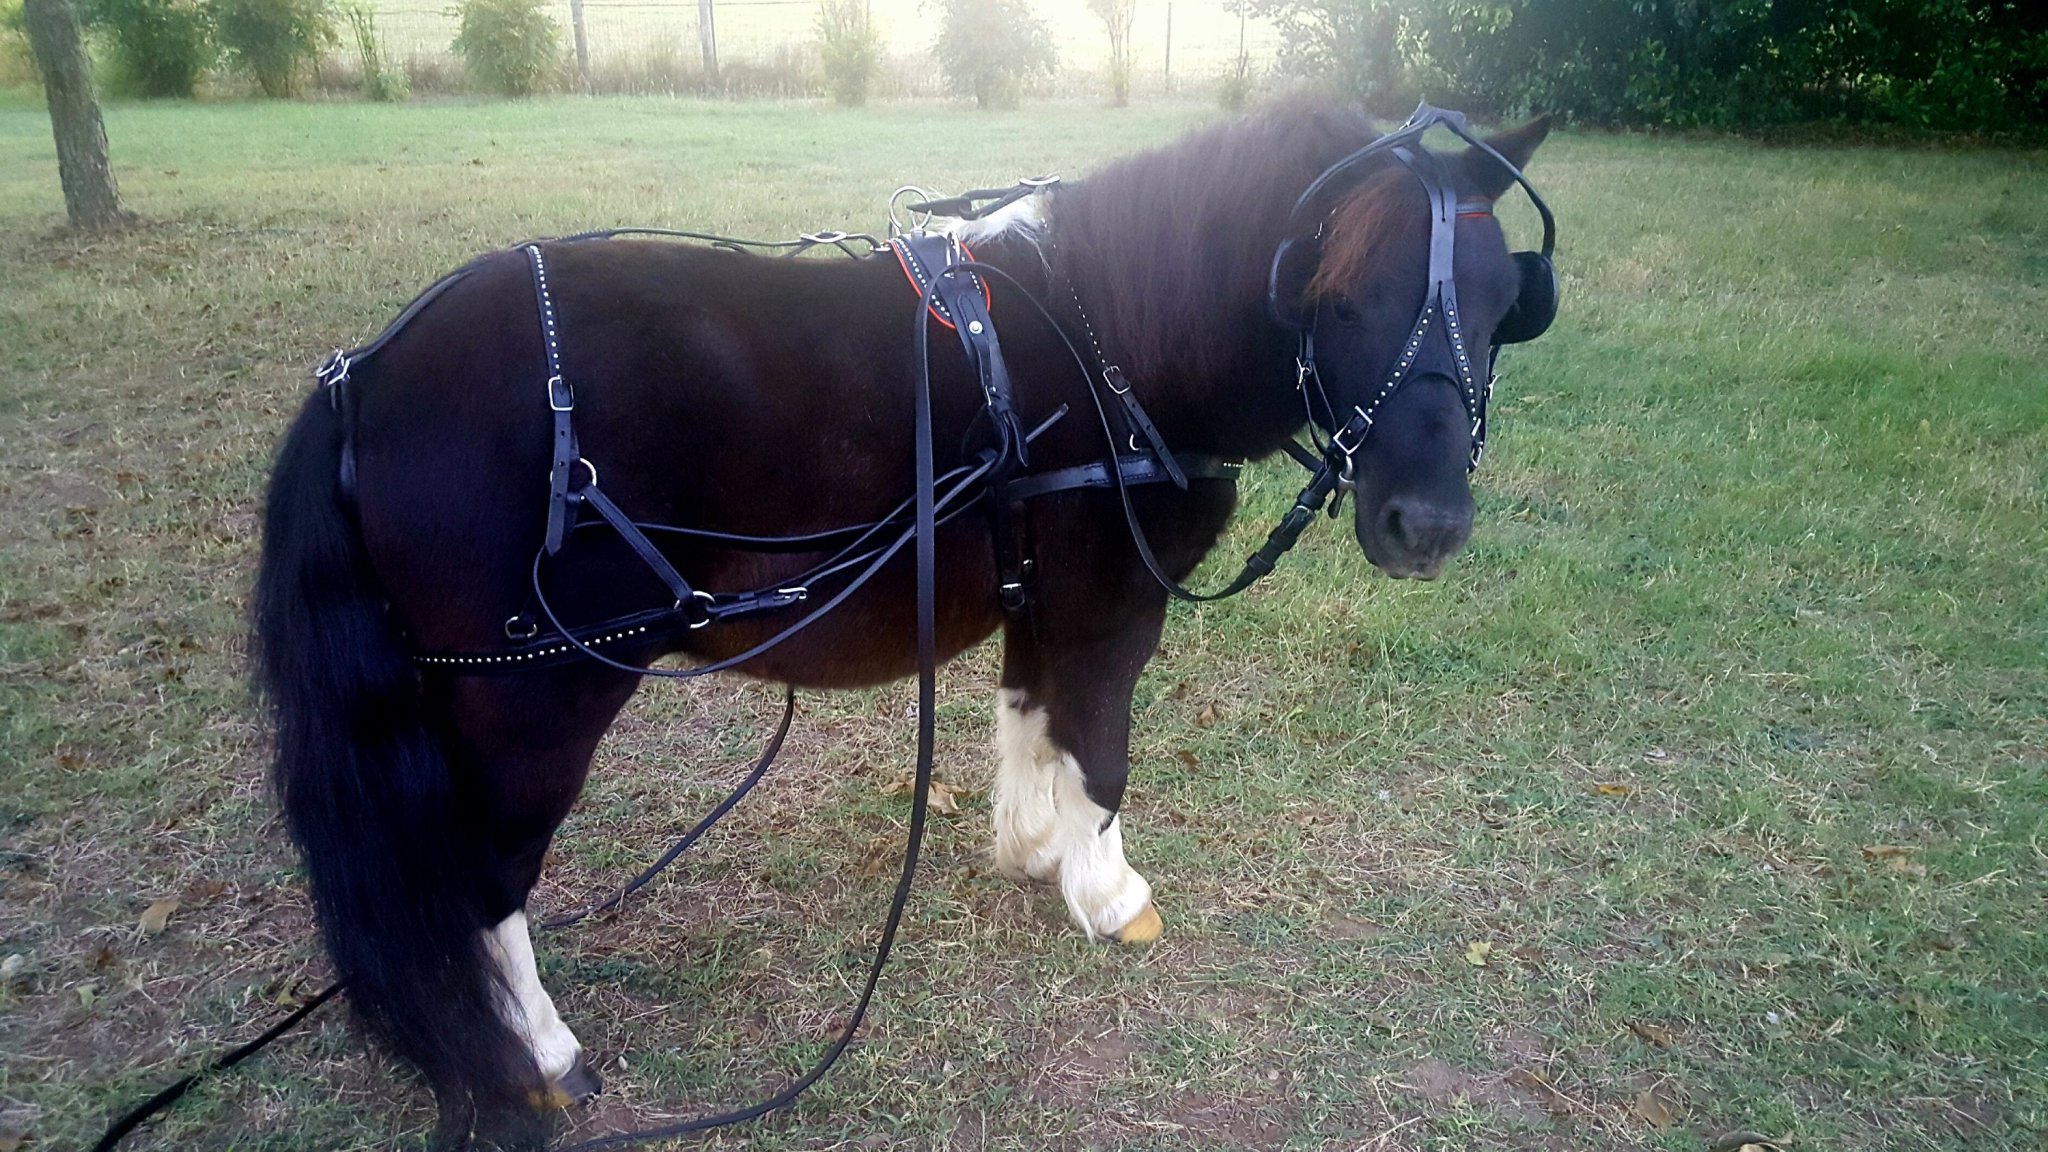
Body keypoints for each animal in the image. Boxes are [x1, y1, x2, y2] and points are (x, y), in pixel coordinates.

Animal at [251, 97, 1555, 1146]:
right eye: (1342, 295)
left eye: (1505, 304)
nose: (1427, 525)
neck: (1105, 335)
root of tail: (364, 374)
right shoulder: (1113, 606)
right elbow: (1103, 750)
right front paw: (1106, 892)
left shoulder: (1047, 600)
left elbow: (1034, 720)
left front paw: (1032, 851)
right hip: (533, 693)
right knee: (482, 878)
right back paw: (536, 1057)